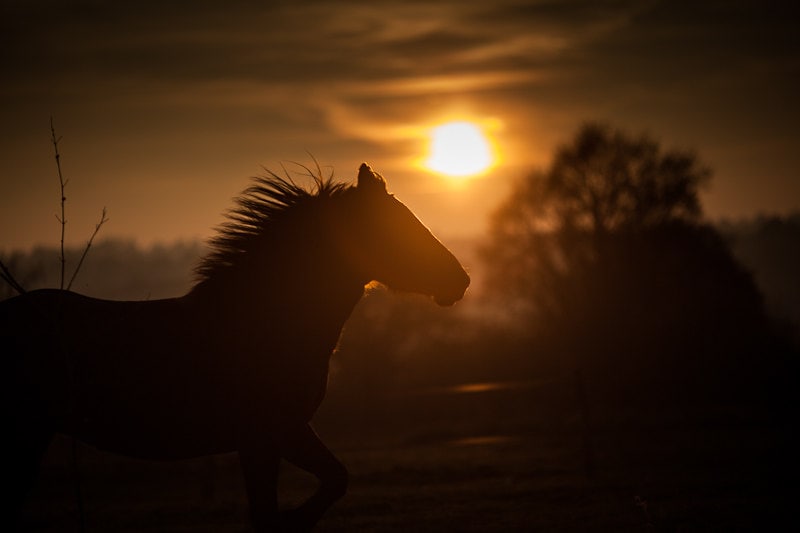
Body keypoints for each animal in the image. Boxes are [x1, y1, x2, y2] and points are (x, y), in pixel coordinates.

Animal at [1, 163, 470, 531]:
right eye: (395, 226)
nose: (461, 279)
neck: (262, 324)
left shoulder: (274, 436)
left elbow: (327, 482)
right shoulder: (271, 434)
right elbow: (293, 502)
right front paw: (293, 521)